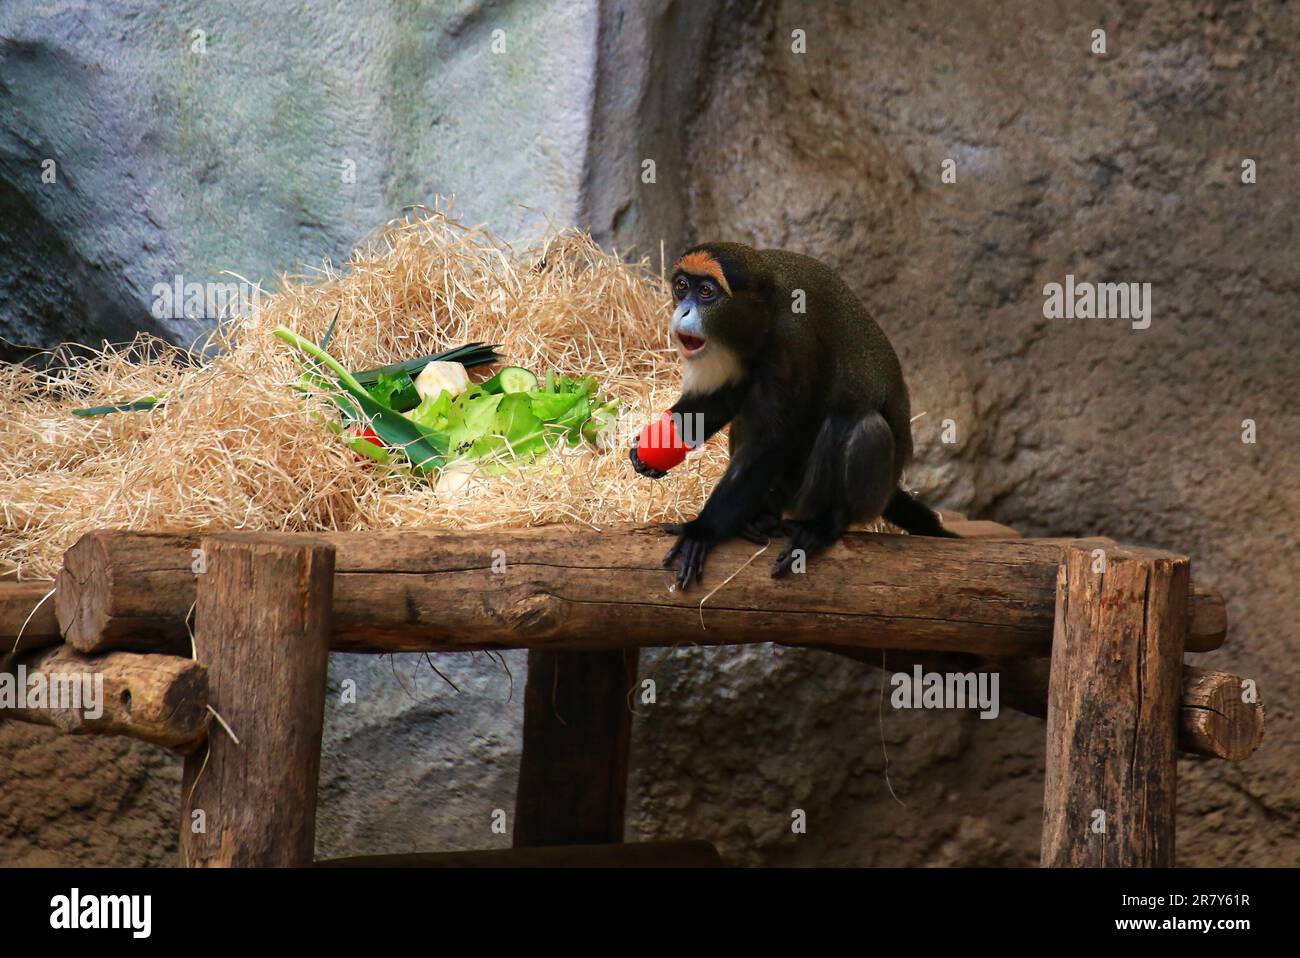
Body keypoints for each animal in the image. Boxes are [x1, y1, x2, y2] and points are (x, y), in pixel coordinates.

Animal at [630, 242, 956, 589]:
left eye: (706, 292)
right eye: (681, 286)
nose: (683, 311)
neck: (764, 310)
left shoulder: (791, 339)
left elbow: (773, 439)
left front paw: (702, 529)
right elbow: (722, 400)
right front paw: (645, 451)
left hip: (835, 495)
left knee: (864, 427)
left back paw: (827, 524)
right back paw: (761, 518)